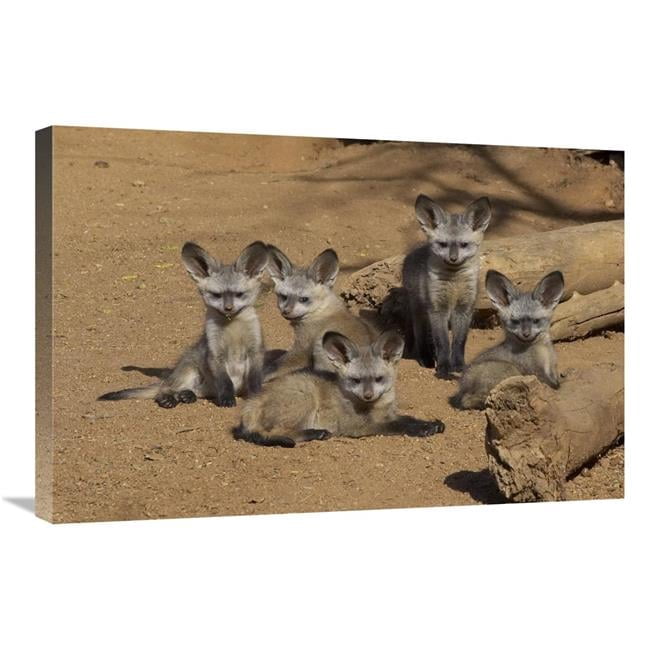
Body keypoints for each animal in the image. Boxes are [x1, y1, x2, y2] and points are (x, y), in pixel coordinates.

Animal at [98, 241, 269, 408]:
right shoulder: (214, 354)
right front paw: (227, 399)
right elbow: (225, 382)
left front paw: (256, 396)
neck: (233, 329)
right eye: (216, 295)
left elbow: (255, 381)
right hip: (189, 371)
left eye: (239, 294)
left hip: (204, 387)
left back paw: (186, 396)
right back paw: (167, 399)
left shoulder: (255, 351)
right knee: (165, 389)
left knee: (192, 391)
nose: (228, 309)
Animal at [233, 330, 445, 447]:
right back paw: (314, 433)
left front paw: (432, 423)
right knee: (272, 432)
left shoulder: (389, 414)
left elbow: (408, 419)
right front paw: (425, 429)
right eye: (355, 380)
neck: (378, 407)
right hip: (305, 397)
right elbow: (399, 426)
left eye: (378, 379)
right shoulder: (360, 426)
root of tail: (252, 402)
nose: (368, 396)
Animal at [264, 245, 377, 377]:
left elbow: (273, 367)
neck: (321, 311)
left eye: (303, 299)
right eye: (283, 297)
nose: (285, 312)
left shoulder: (303, 348)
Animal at [402, 195, 492, 379]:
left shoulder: (464, 308)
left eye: (464, 244)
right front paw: (443, 368)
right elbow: (442, 342)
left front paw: (458, 366)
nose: (453, 258)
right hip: (419, 310)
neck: (454, 284)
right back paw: (426, 358)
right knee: (420, 334)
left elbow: (458, 342)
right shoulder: (437, 309)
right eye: (443, 244)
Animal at [450, 269, 565, 410]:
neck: (542, 350)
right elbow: (554, 386)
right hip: (509, 370)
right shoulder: (535, 371)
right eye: (515, 321)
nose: (526, 334)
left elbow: (557, 382)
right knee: (470, 401)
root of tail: (463, 385)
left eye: (536, 321)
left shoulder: (552, 369)